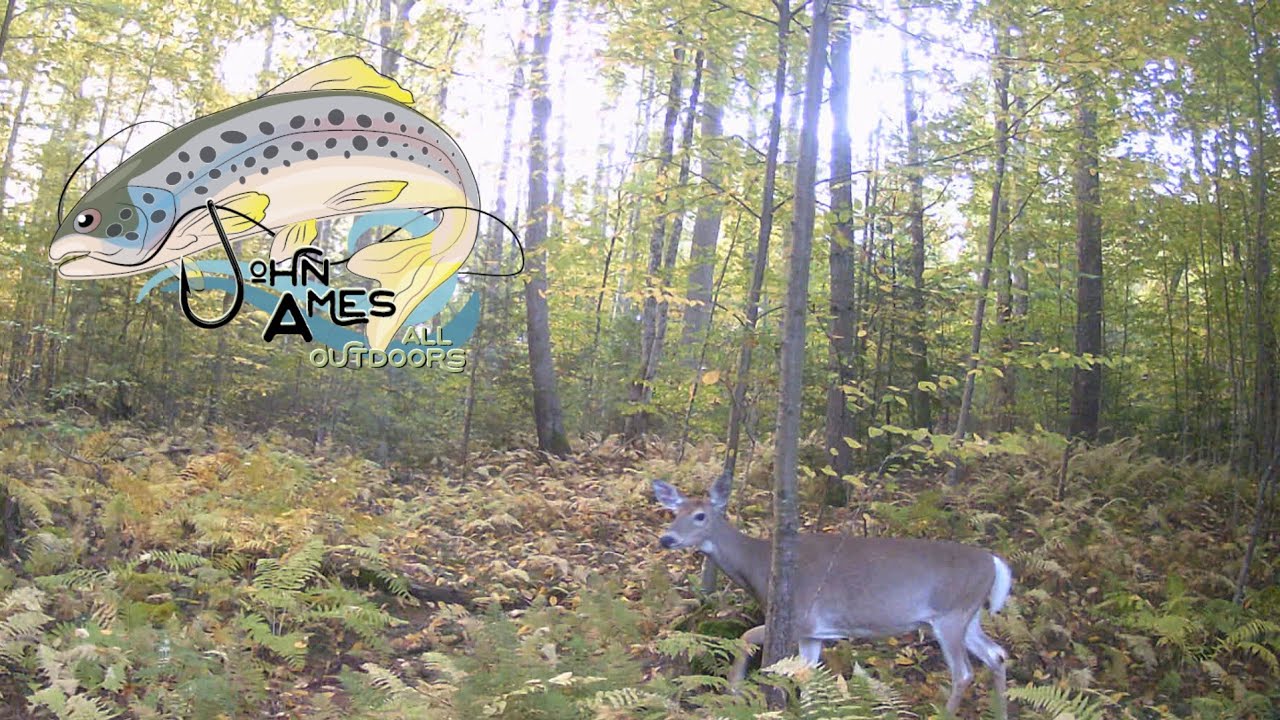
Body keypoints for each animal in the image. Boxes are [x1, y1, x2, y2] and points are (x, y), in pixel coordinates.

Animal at [652, 475, 1011, 717]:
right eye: (674, 512)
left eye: (700, 515)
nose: (666, 539)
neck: (759, 567)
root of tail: (993, 561)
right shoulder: (813, 633)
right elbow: (809, 680)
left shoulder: (798, 618)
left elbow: (745, 636)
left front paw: (734, 688)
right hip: (969, 616)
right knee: (997, 654)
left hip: (951, 614)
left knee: (964, 672)